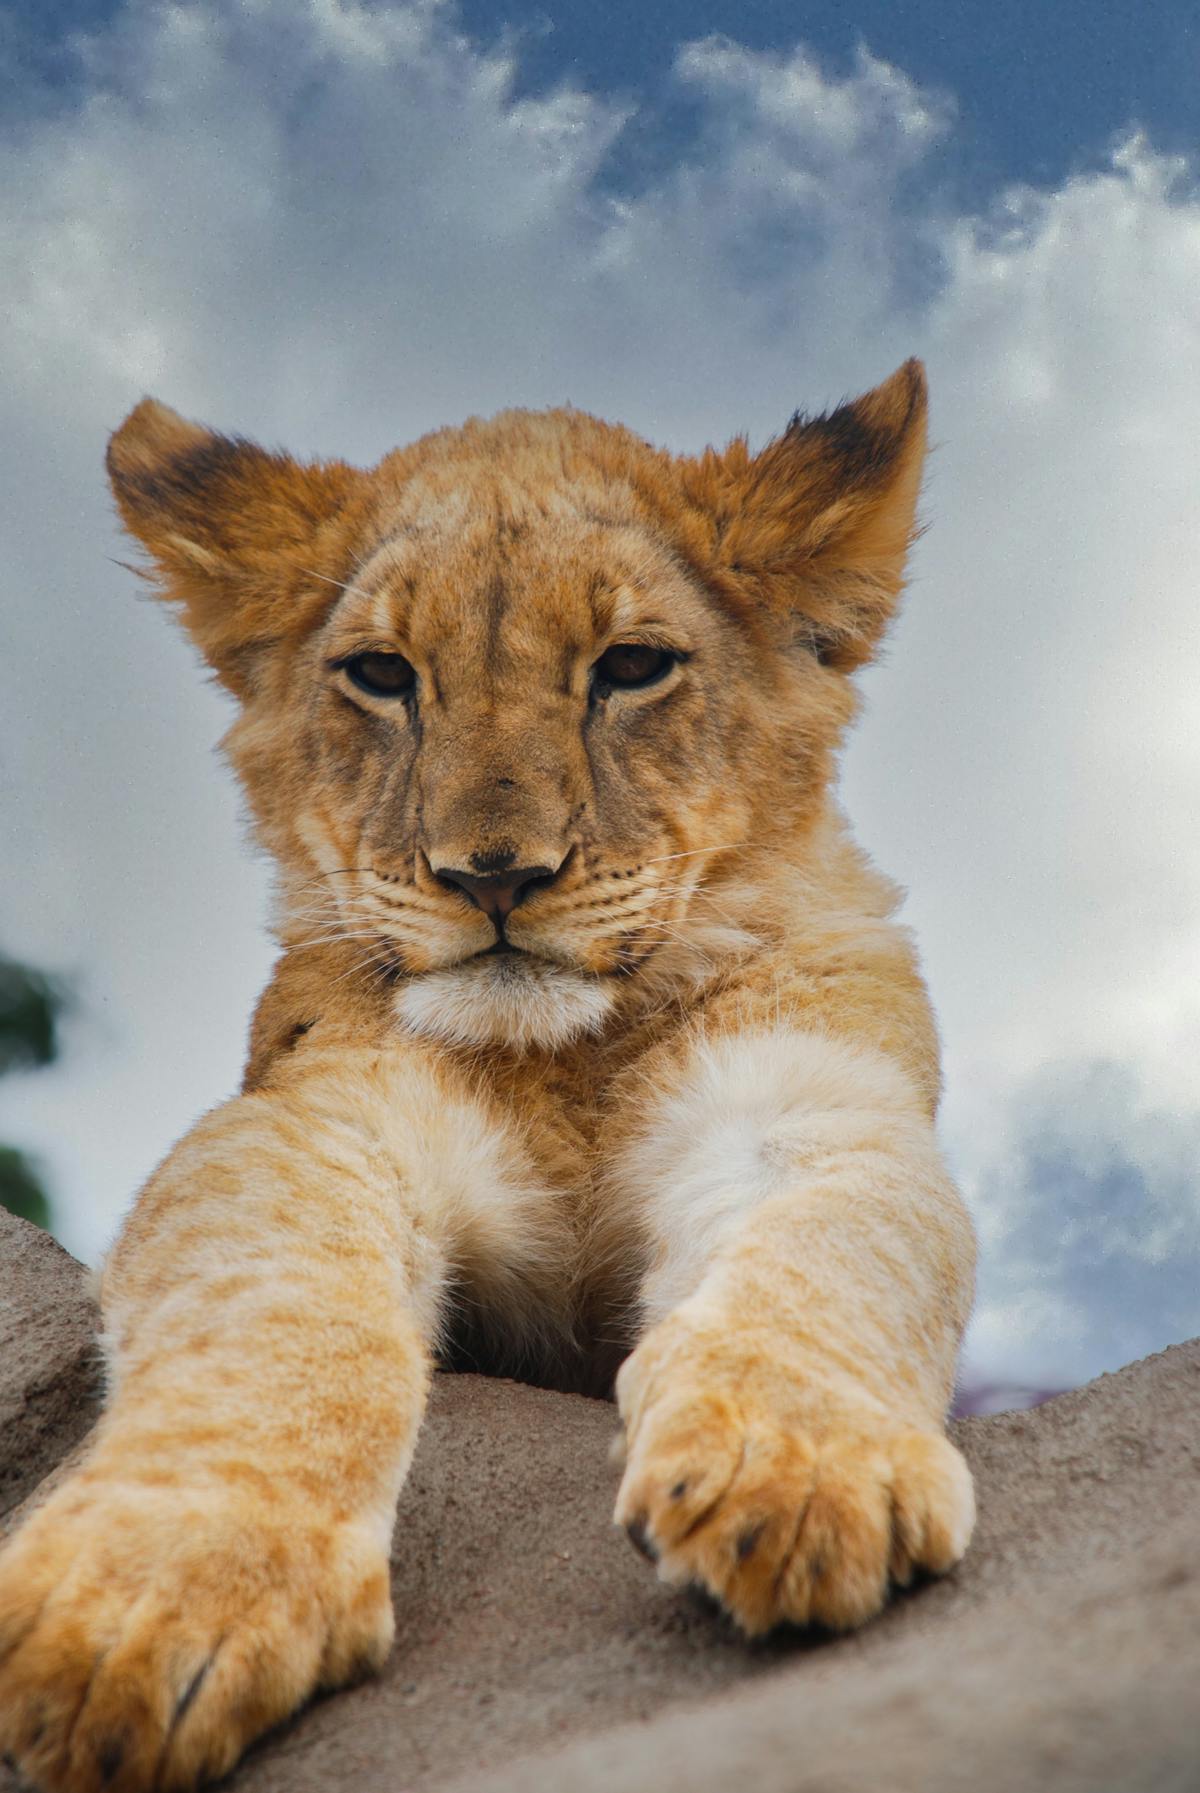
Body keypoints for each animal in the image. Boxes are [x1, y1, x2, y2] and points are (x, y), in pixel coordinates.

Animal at [0, 362, 975, 1793]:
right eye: (381, 675)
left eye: (630, 667)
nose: (496, 875)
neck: (567, 1055)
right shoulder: (317, 1122)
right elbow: (279, 1320)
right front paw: (150, 1597)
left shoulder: (813, 1109)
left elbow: (842, 1245)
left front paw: (798, 1469)